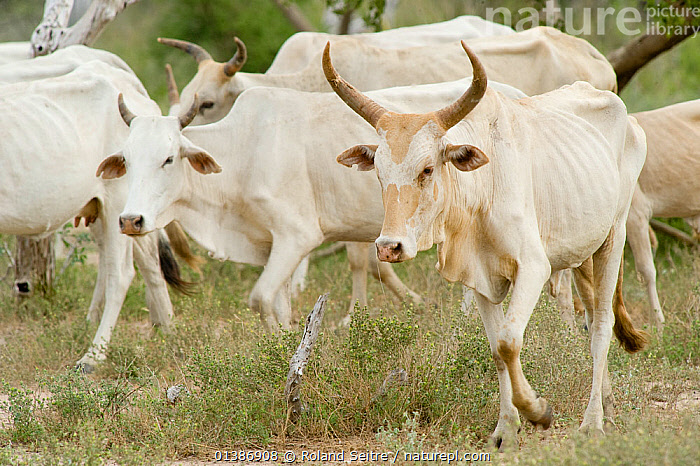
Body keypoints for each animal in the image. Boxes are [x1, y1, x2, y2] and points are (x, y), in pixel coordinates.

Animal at [0, 61, 188, 372]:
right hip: (127, 214)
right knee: (151, 265)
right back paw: (168, 333)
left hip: (119, 208)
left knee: (120, 274)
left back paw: (93, 356)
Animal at [97, 73, 528, 331]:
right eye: (127, 160)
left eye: (169, 158)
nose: (131, 220)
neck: (244, 151)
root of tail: (516, 95)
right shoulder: (274, 246)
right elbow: (277, 302)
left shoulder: (297, 237)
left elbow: (260, 298)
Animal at [322, 41, 648, 447]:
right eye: (379, 173)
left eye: (427, 169)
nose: (388, 247)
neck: (482, 191)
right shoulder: (479, 277)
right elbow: (496, 350)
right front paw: (506, 428)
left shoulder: (534, 267)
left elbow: (509, 341)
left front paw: (538, 412)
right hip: (583, 253)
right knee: (590, 317)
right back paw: (608, 404)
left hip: (614, 236)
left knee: (602, 325)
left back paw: (592, 422)